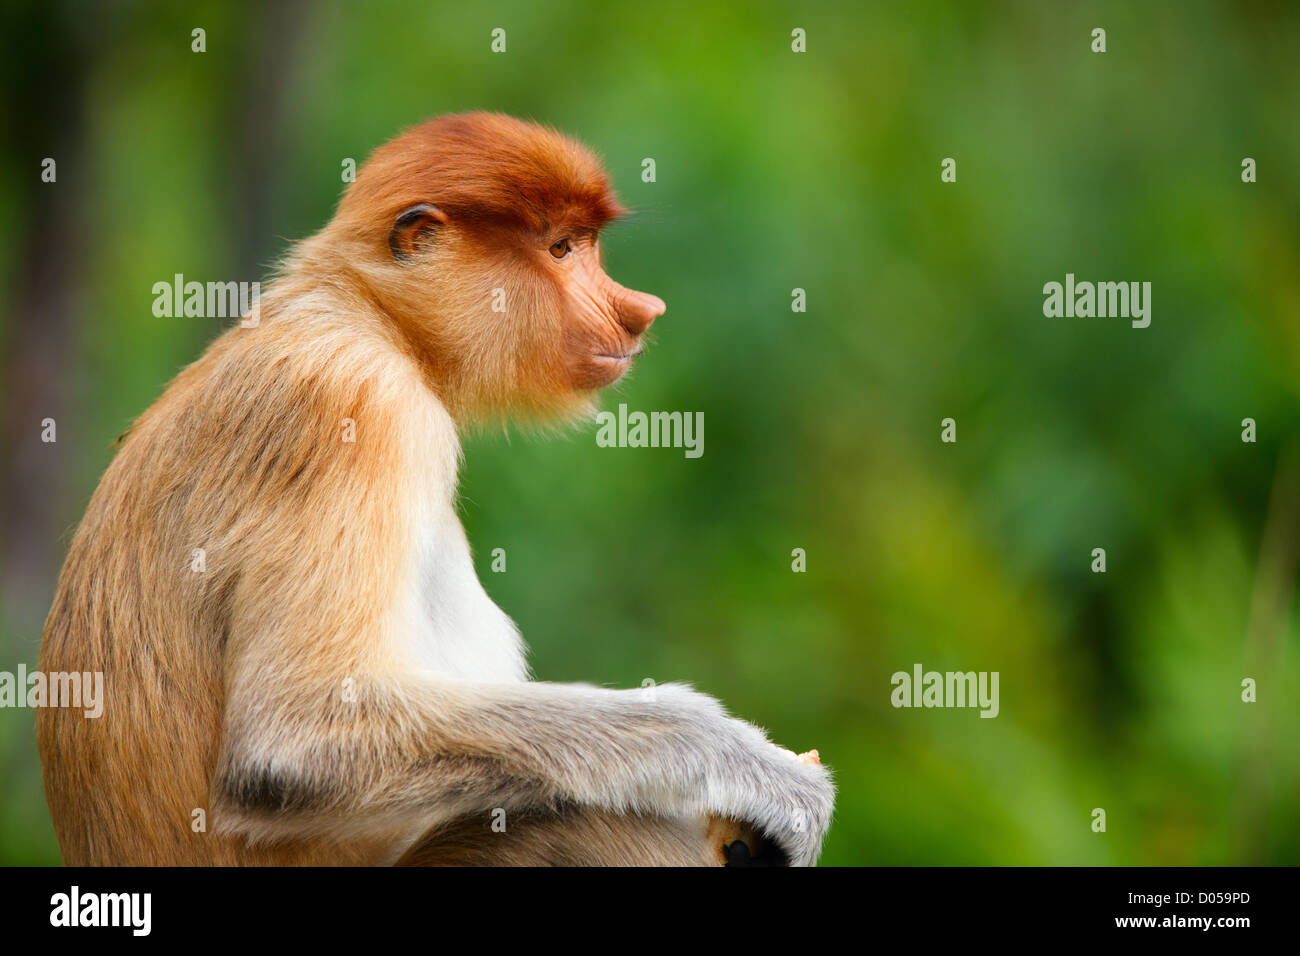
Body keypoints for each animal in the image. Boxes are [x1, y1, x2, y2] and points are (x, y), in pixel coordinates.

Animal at [36, 112, 835, 866]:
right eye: (561, 250)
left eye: (587, 244)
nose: (639, 309)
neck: (369, 315)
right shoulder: (359, 404)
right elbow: (291, 743)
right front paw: (750, 764)